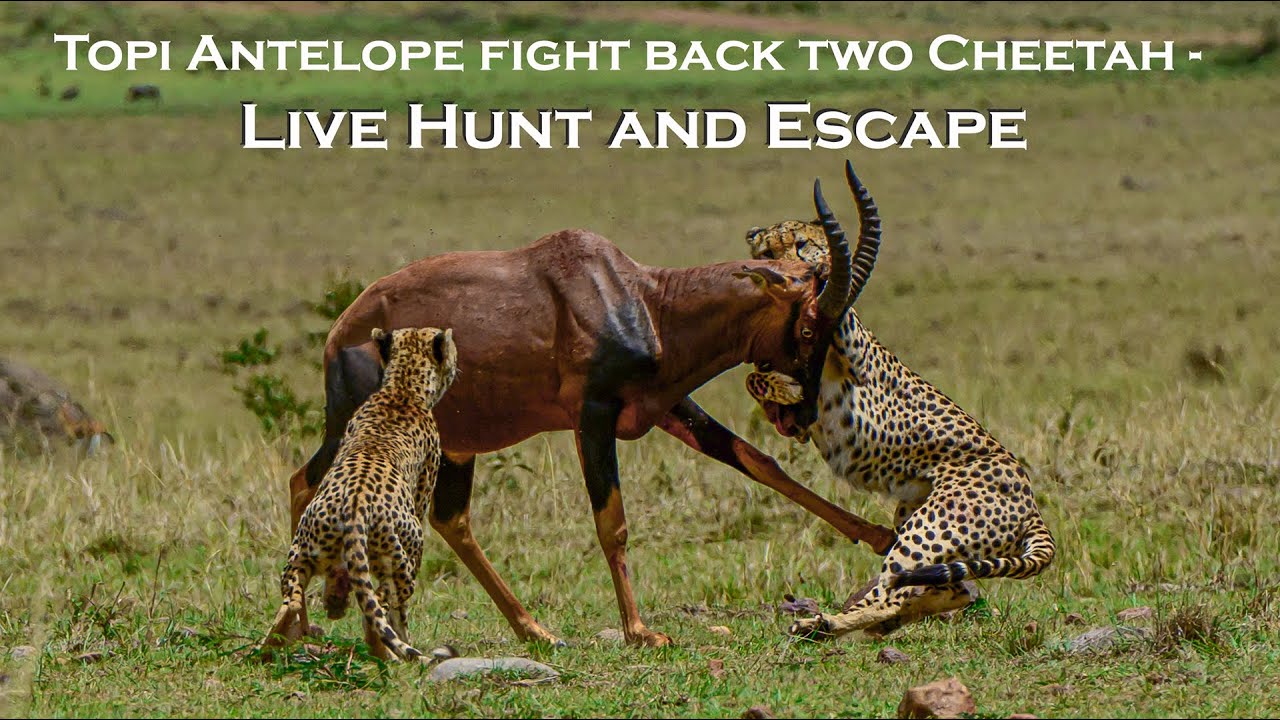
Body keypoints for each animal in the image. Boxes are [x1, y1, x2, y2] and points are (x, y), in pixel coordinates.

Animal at [261, 325, 459, 662]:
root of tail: (354, 509)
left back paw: (269, 647)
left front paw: (335, 601)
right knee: (379, 609)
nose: (458, 364)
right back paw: (392, 655)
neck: (402, 388)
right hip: (401, 562)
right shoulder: (423, 490)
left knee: (293, 601)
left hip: (301, 554)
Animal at [282, 164, 892, 648]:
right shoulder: (592, 416)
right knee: (304, 483)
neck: (639, 296)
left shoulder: (664, 405)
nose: (799, 418)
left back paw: (535, 630)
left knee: (449, 518)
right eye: (807, 325)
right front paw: (642, 632)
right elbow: (612, 523)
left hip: (456, 442)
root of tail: (341, 330)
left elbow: (756, 462)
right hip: (359, 423)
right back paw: (300, 625)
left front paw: (880, 535)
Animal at [742, 219, 1056, 642]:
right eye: (772, 241)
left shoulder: (847, 340)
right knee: (950, 590)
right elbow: (754, 378)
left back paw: (824, 623)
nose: (755, 235)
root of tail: (1031, 503)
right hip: (917, 516)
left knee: (893, 590)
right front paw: (783, 398)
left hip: (930, 527)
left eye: (799, 241)